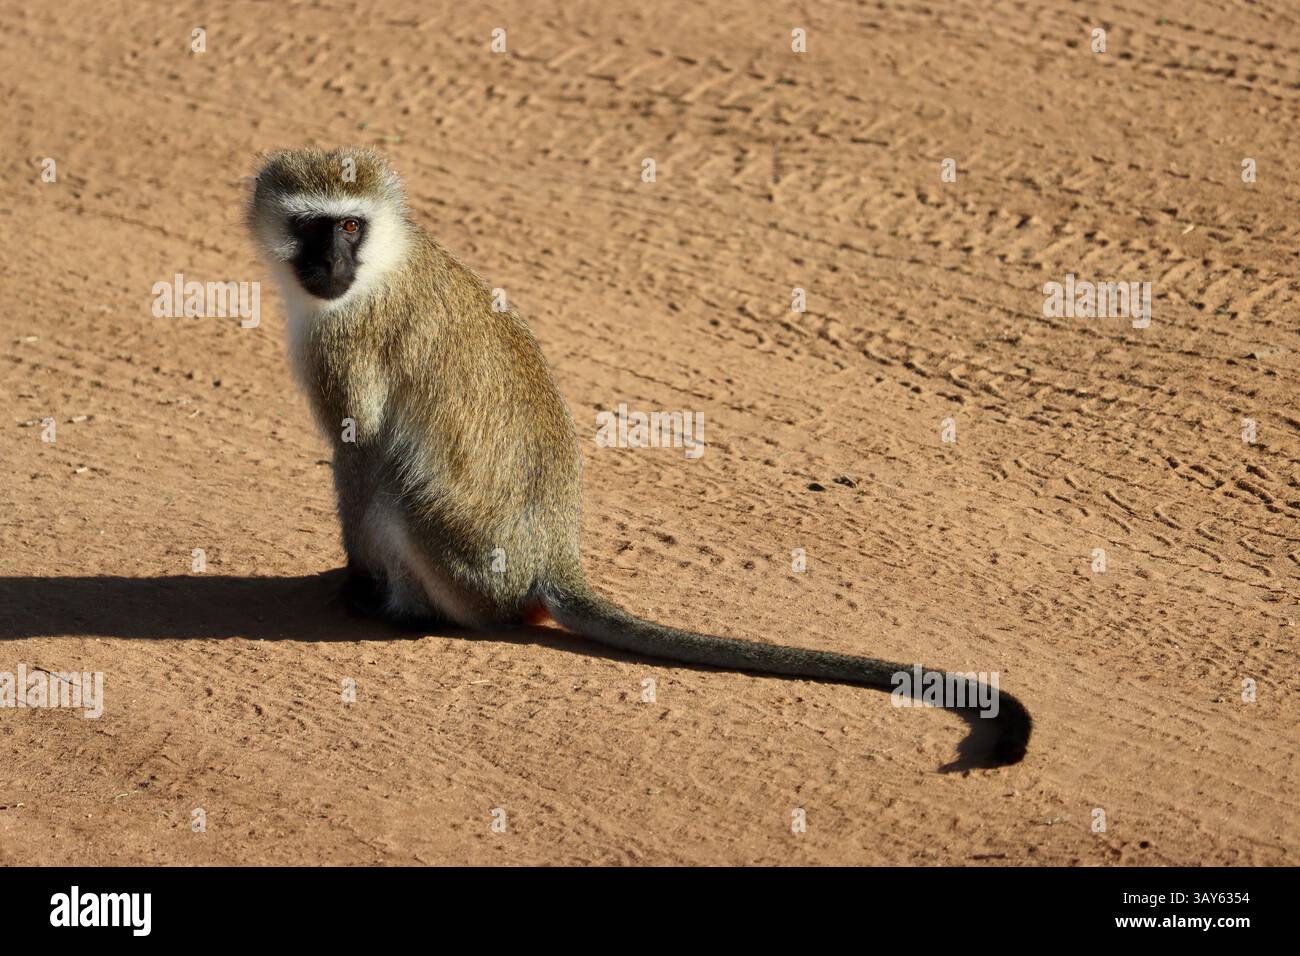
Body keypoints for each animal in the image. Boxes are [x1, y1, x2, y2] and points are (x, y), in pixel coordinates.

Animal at [246, 146, 1031, 767]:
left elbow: (362, 452)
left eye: (350, 225)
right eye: (312, 226)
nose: (331, 262)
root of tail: (551, 560)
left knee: (398, 492)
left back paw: (409, 612)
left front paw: (356, 582)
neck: (384, 265)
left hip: (465, 566)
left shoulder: (343, 342)